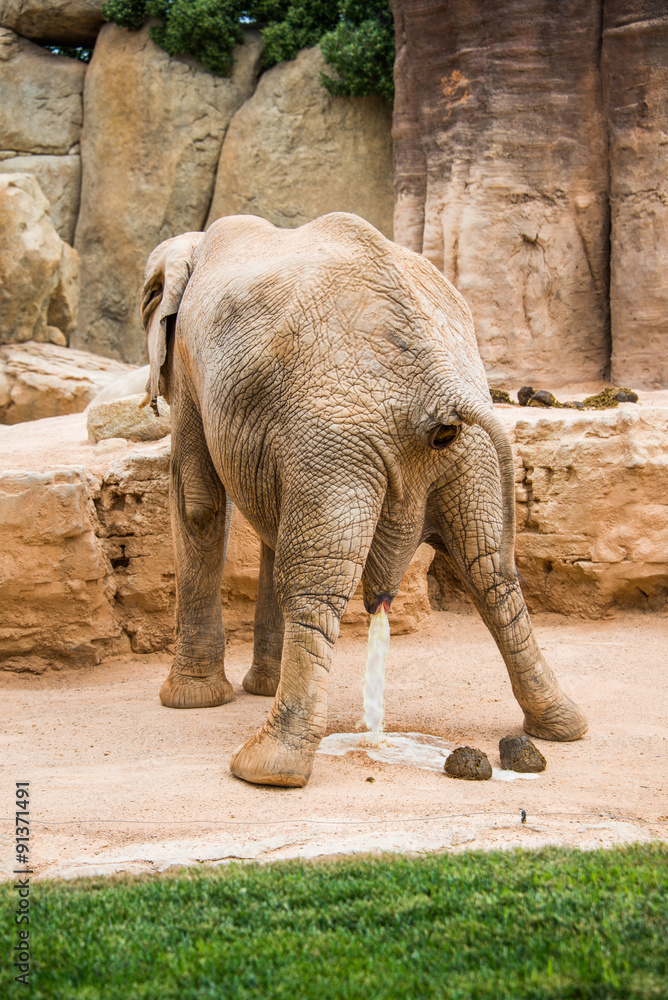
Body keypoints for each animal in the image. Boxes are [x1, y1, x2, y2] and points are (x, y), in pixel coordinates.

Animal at [141, 212, 587, 788]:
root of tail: (439, 382)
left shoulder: (192, 369)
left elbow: (198, 502)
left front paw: (191, 703)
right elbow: (260, 517)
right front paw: (249, 689)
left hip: (338, 443)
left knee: (315, 581)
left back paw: (265, 769)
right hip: (463, 452)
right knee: (490, 572)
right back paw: (563, 727)